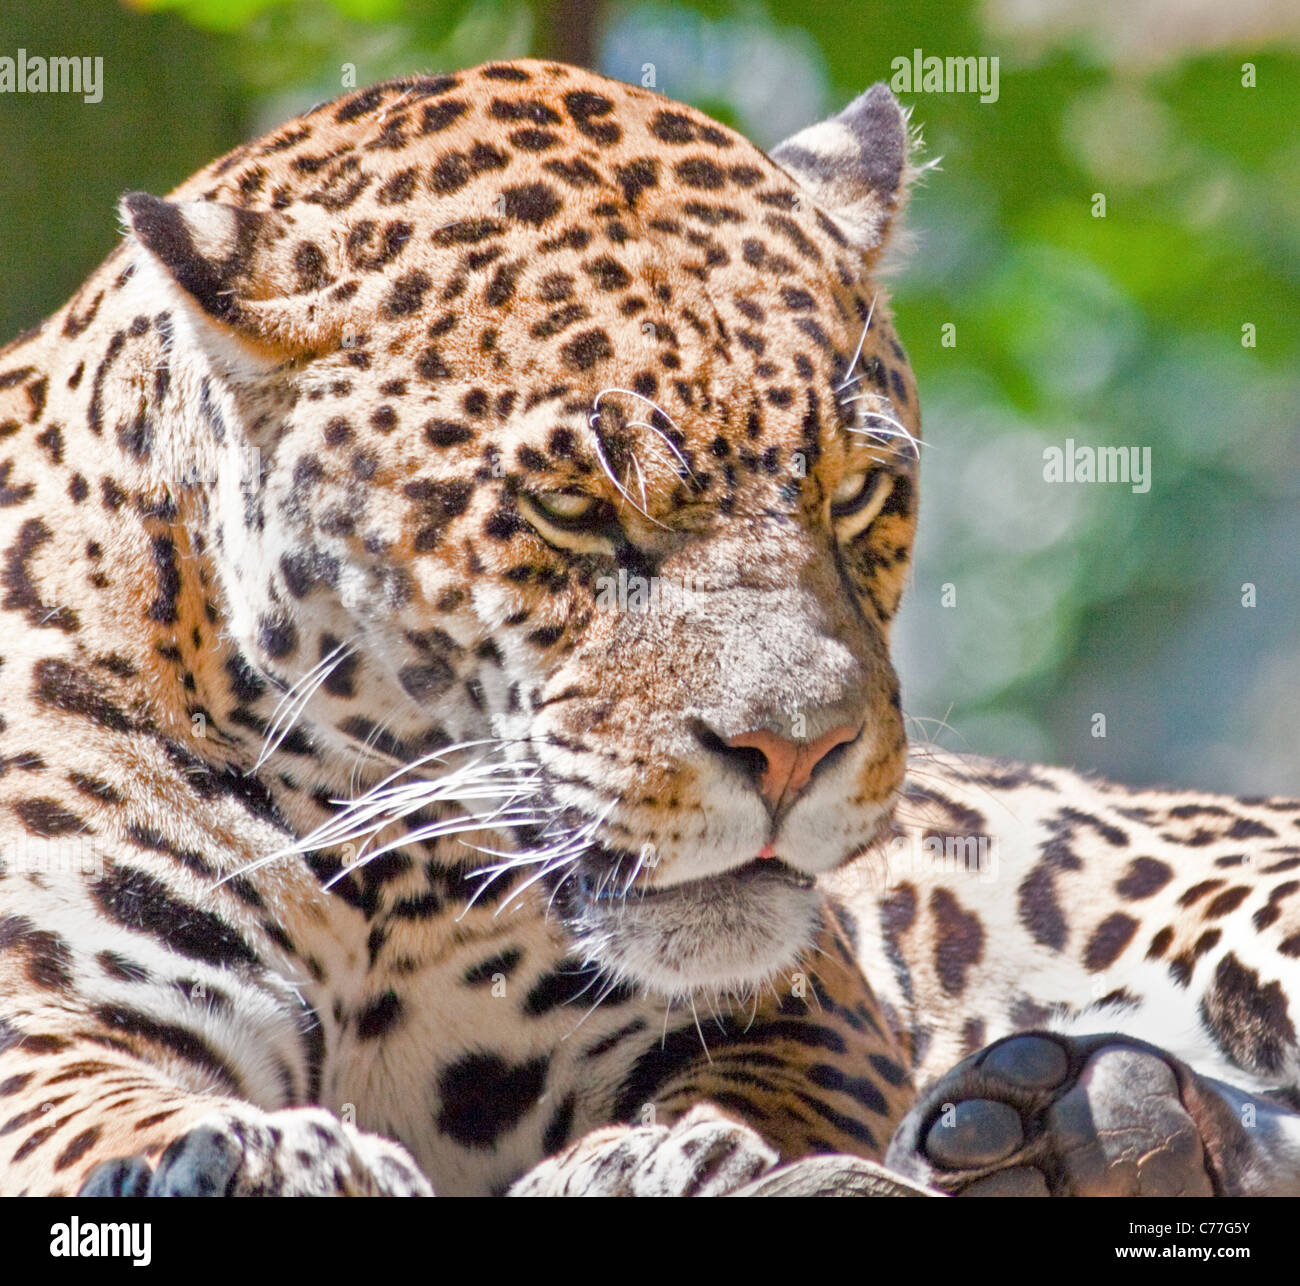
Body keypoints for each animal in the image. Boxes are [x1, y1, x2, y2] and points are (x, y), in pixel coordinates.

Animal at [1, 57, 1298, 1199]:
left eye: (855, 492)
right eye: (575, 506)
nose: (794, 754)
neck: (390, 895)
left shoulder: (820, 1014)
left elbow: (761, 1097)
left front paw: (658, 1150)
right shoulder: (47, 1004)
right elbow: (91, 1106)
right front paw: (268, 1151)